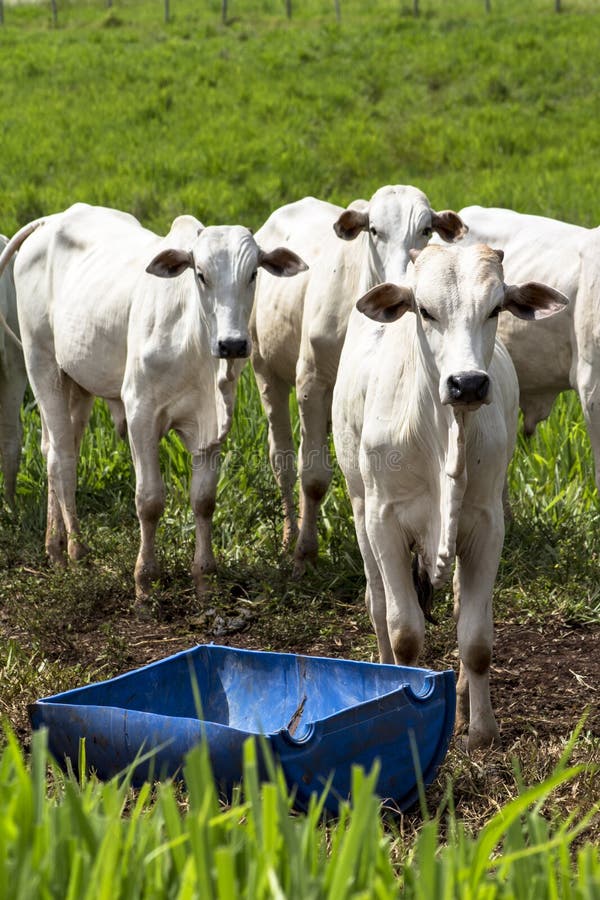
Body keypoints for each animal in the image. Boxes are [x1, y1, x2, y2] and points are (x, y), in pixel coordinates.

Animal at [0, 203, 307, 600]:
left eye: (253, 273)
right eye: (201, 274)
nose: (233, 344)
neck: (194, 342)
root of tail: (52, 220)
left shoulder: (210, 425)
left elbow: (203, 500)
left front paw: (205, 576)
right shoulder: (140, 415)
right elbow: (149, 501)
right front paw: (145, 580)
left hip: (77, 381)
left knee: (56, 445)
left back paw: (55, 545)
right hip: (41, 363)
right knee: (61, 458)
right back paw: (75, 551)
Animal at [251, 185, 467, 574]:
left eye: (426, 229)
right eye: (374, 230)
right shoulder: (311, 382)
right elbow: (313, 476)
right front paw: (304, 552)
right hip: (265, 368)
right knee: (284, 460)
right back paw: (290, 534)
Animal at [331, 243, 568, 749]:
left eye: (495, 308)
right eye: (425, 310)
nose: (468, 383)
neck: (442, 437)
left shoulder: (487, 526)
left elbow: (475, 638)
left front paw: (480, 730)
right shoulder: (384, 520)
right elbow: (404, 633)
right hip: (360, 509)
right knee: (377, 604)